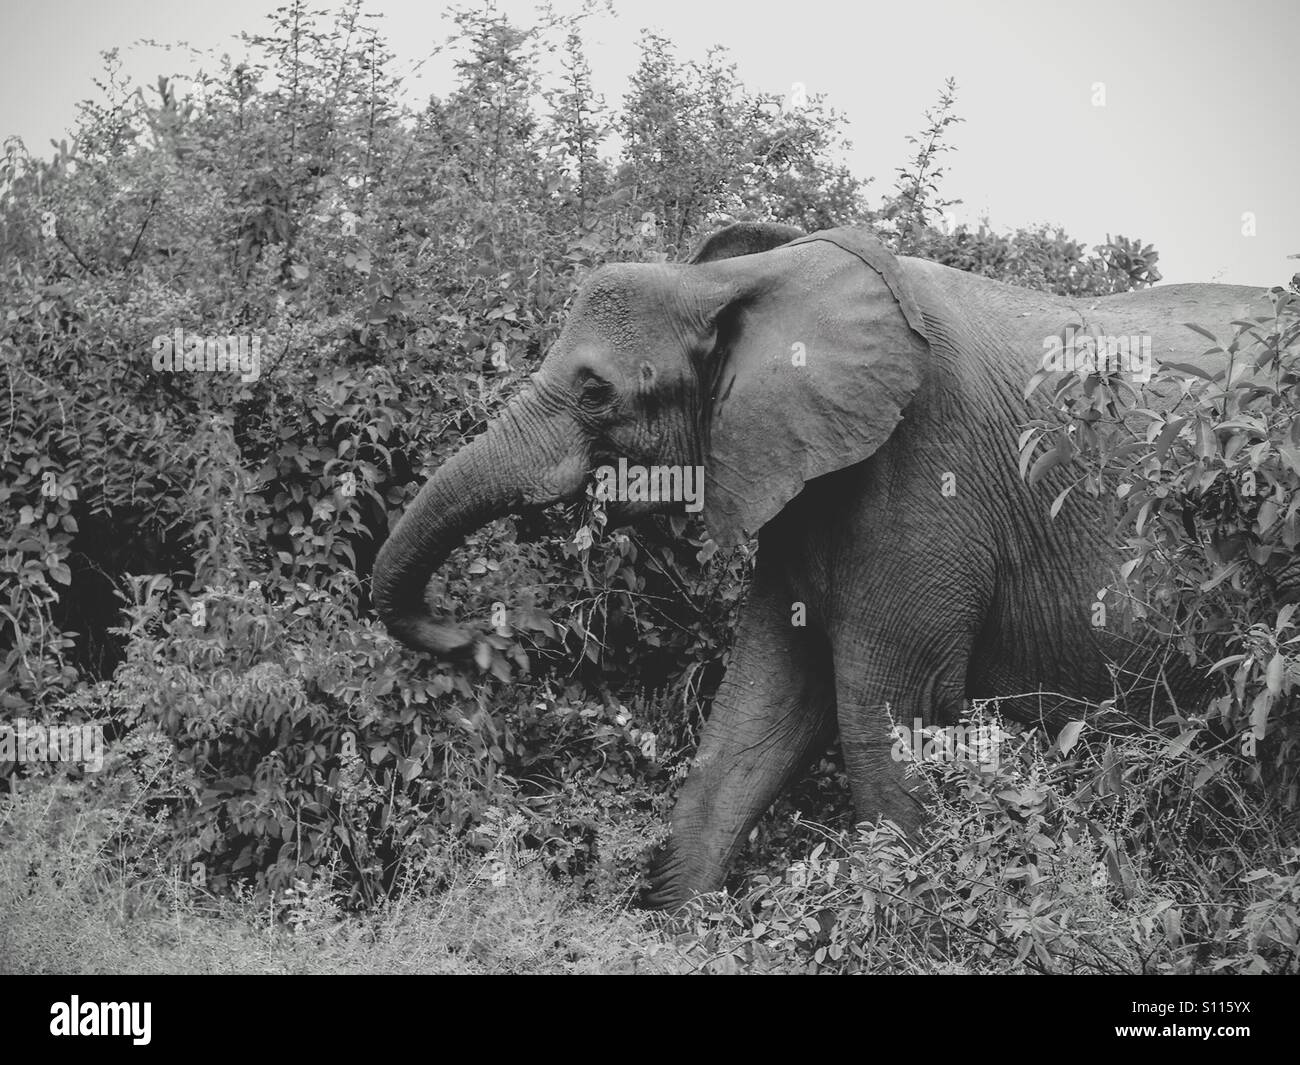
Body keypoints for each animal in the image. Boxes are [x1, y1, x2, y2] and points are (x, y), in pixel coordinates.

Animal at [372, 221, 1273, 909]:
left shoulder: (930, 473)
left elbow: (886, 711)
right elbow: (764, 707)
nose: (481, 643)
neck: (742, 284)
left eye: (597, 392)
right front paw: (672, 929)